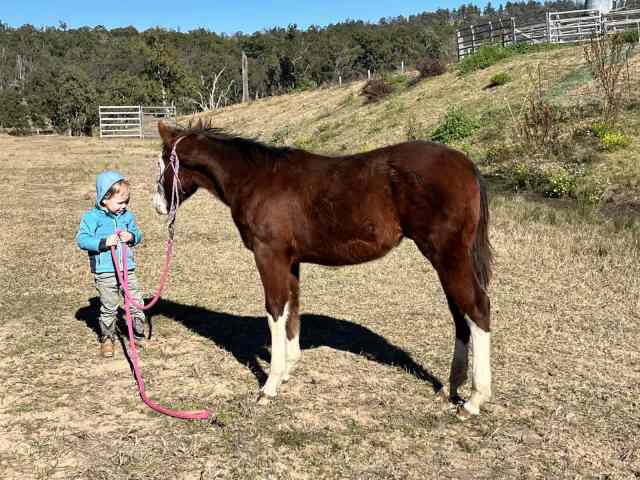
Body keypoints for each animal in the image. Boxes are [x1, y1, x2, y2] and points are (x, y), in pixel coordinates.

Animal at [153, 120, 493, 418]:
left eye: (163, 163)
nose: (158, 206)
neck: (256, 180)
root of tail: (467, 165)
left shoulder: (269, 255)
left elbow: (275, 309)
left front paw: (270, 386)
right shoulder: (291, 260)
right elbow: (292, 309)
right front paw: (288, 369)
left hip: (447, 256)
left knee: (478, 308)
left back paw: (474, 401)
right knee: (460, 314)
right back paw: (452, 387)